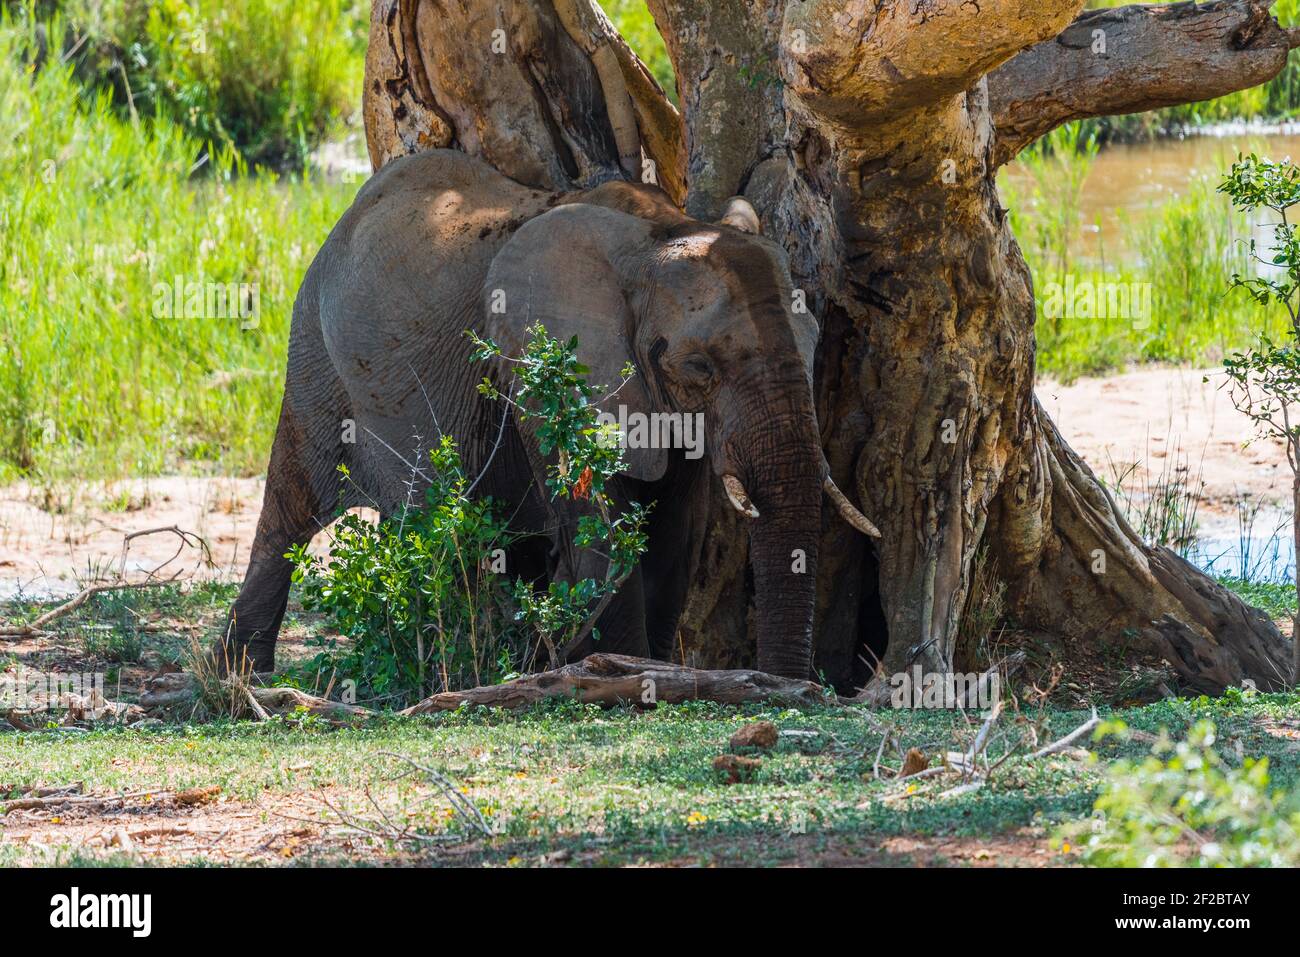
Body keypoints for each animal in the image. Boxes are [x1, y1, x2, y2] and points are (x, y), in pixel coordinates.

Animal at [221, 148, 879, 680]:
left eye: (815, 343)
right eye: (699, 367)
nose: (797, 687)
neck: (658, 236)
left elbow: (675, 536)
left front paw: (641, 670)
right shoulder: (544, 364)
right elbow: (603, 537)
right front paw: (624, 673)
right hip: (314, 349)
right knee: (292, 505)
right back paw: (242, 678)